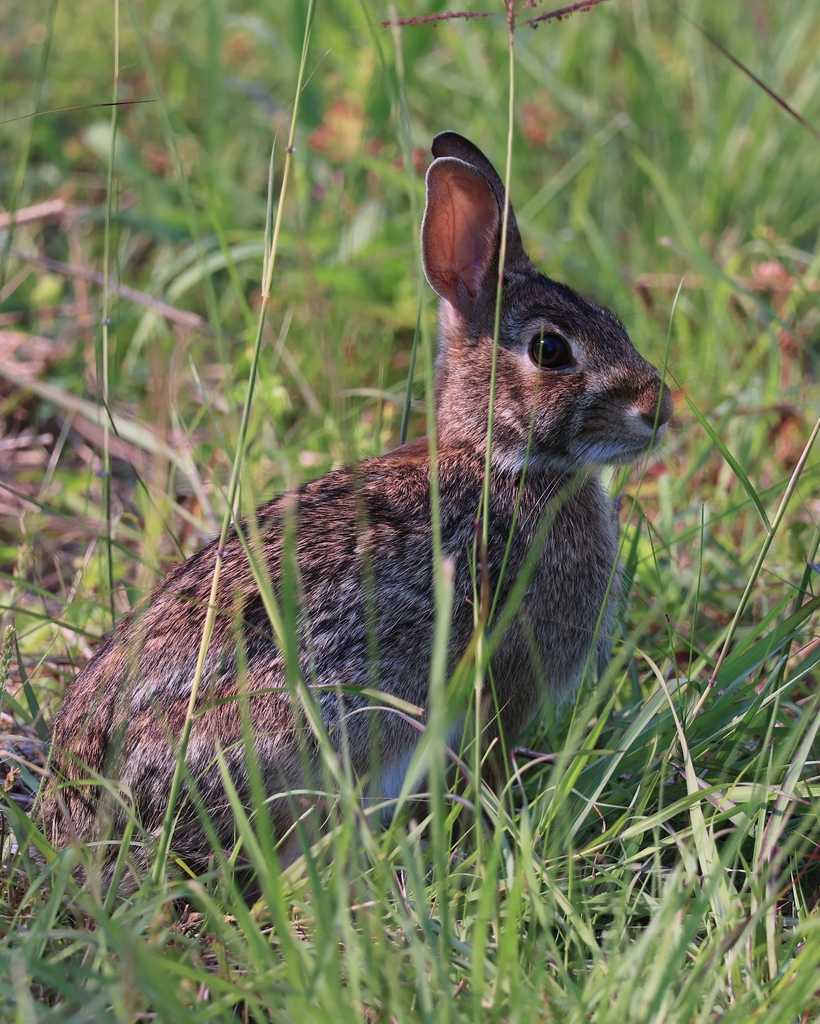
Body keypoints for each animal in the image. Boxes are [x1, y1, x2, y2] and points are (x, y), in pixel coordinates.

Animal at [39, 131, 672, 879]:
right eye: (550, 349)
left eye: (612, 319)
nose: (657, 408)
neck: (501, 462)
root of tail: (76, 812)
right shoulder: (502, 680)